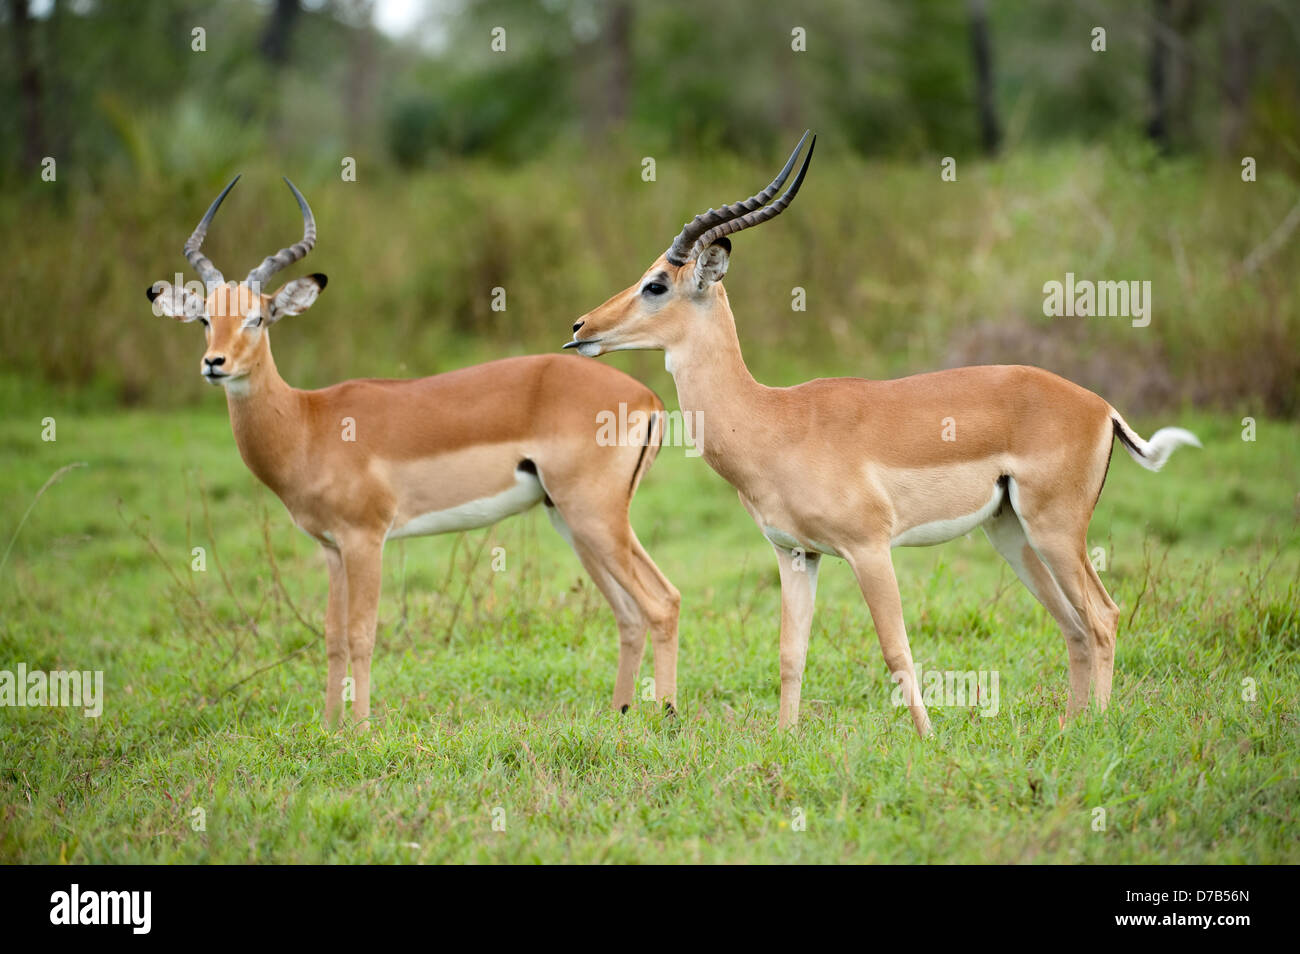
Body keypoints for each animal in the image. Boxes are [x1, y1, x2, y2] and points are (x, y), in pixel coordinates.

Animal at [147, 176, 680, 729]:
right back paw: (620, 712)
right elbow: (333, 638)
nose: (215, 363)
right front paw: (329, 727)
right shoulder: (332, 549)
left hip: (594, 517)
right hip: (572, 521)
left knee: (663, 601)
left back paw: (665, 713)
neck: (307, 421)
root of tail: (648, 397)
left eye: (256, 317)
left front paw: (359, 730)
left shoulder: (366, 539)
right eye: (204, 318)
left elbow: (362, 634)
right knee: (629, 612)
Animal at [565, 132, 1199, 734]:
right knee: (1073, 624)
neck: (774, 421)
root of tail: (1100, 407)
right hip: (1011, 532)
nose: (580, 328)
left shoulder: (869, 549)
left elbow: (898, 651)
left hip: (1056, 530)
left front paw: (928, 741)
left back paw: (1098, 725)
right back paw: (1070, 726)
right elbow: (790, 654)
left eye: (656, 285)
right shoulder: (796, 554)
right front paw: (784, 741)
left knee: (1103, 616)